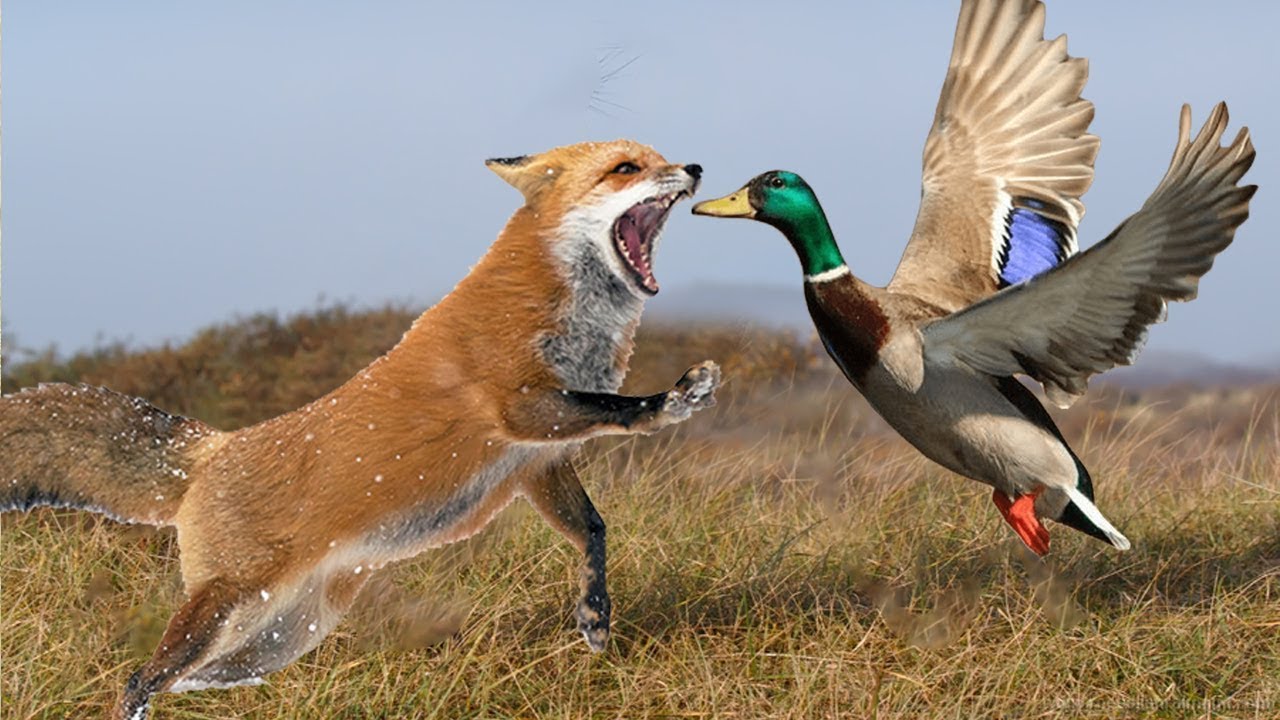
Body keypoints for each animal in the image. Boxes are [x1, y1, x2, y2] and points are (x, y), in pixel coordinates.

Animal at [0, 140, 716, 720]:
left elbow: (592, 529)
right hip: (228, 609)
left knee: (196, 678)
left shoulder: (534, 463)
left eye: (658, 156)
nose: (697, 167)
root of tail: (210, 450)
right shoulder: (519, 408)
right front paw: (672, 401)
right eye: (626, 168)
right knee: (140, 680)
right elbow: (619, 409)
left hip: (285, 629)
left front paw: (595, 616)